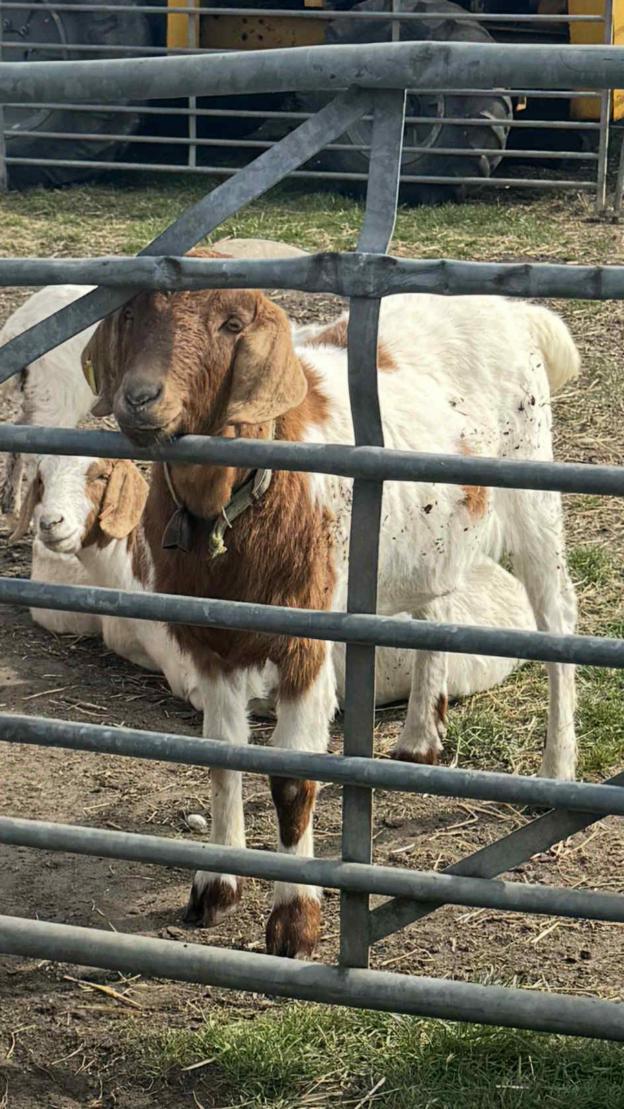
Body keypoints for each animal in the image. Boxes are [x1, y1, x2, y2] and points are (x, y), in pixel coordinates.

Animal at [82, 287, 579, 958]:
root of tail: (515, 309)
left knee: (559, 619)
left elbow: (294, 782)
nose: (140, 397)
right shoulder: (212, 643)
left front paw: (294, 922)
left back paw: (556, 772)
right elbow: (220, 759)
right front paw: (215, 887)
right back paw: (419, 738)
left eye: (232, 324)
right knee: (438, 606)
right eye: (131, 313)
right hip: (432, 530)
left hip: (532, 493)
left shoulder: (307, 643)